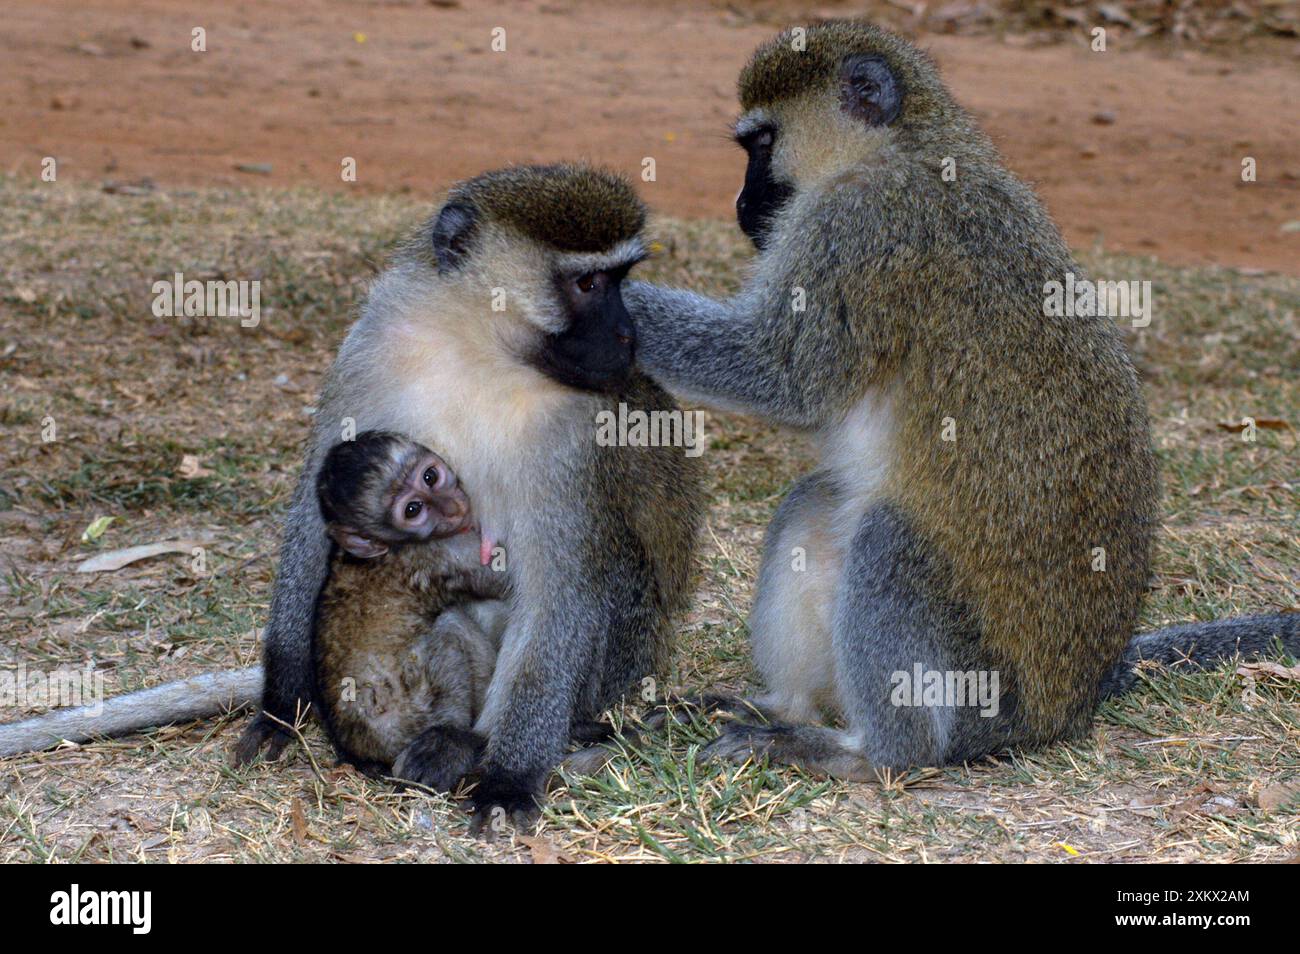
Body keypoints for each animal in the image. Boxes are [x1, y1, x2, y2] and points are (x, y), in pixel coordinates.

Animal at [310, 430, 510, 790]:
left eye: (430, 477)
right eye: (413, 509)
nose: (452, 507)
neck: (392, 548)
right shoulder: (446, 552)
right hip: (415, 711)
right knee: (448, 626)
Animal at [622, 21, 1299, 780]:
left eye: (762, 144)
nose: (740, 206)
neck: (906, 146)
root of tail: (1072, 700)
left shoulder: (861, 224)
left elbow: (780, 377)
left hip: (983, 691)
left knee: (887, 539)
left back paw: (874, 754)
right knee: (819, 502)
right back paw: (783, 708)